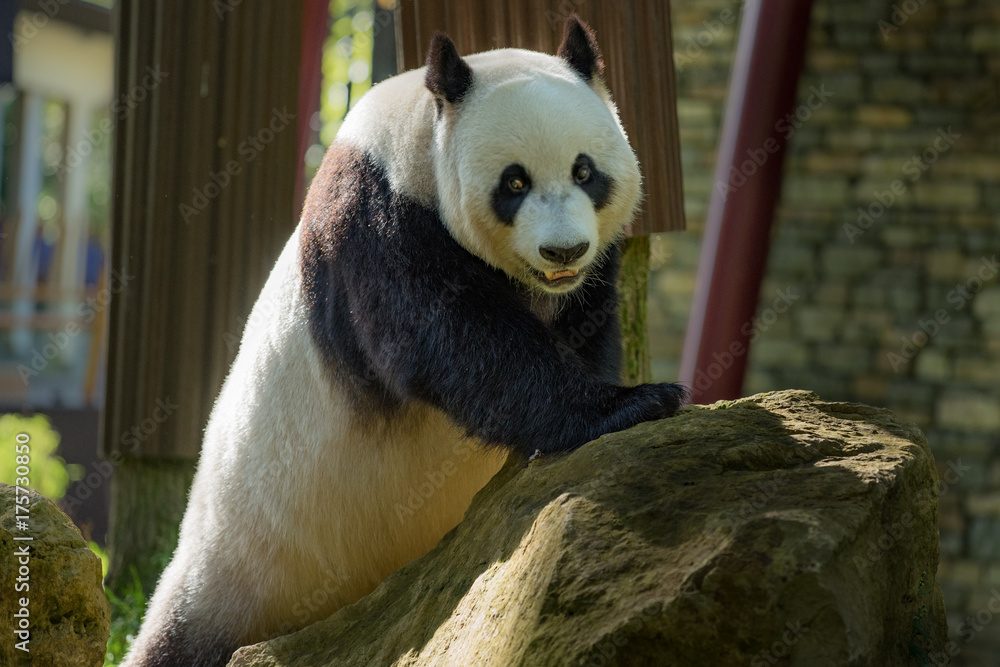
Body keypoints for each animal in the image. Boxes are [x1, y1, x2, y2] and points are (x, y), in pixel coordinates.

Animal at [124, 15, 685, 667]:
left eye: (585, 171)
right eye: (514, 182)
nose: (563, 251)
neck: (419, 135)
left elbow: (586, 324)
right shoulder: (376, 221)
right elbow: (454, 341)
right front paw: (630, 403)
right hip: (240, 566)